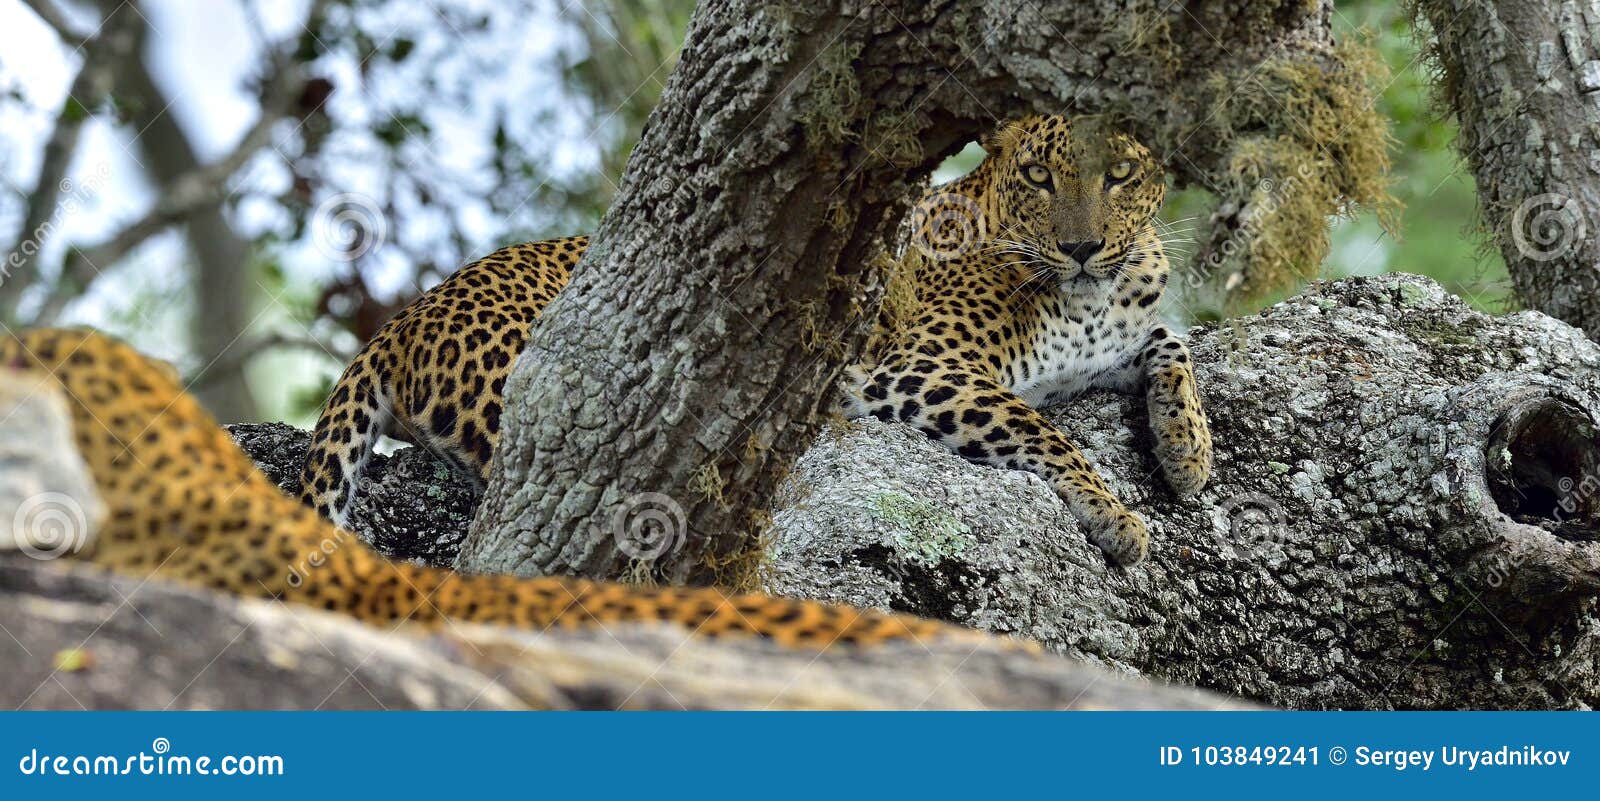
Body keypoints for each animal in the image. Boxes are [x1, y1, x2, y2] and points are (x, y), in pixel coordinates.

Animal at [297, 114, 1203, 562]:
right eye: (1039, 178)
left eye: (1120, 174)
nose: (1081, 245)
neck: (1092, 292)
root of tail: (405, 318)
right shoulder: (914, 368)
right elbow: (1040, 427)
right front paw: (1116, 517)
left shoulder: (1113, 336)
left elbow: (1171, 341)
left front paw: (1187, 451)